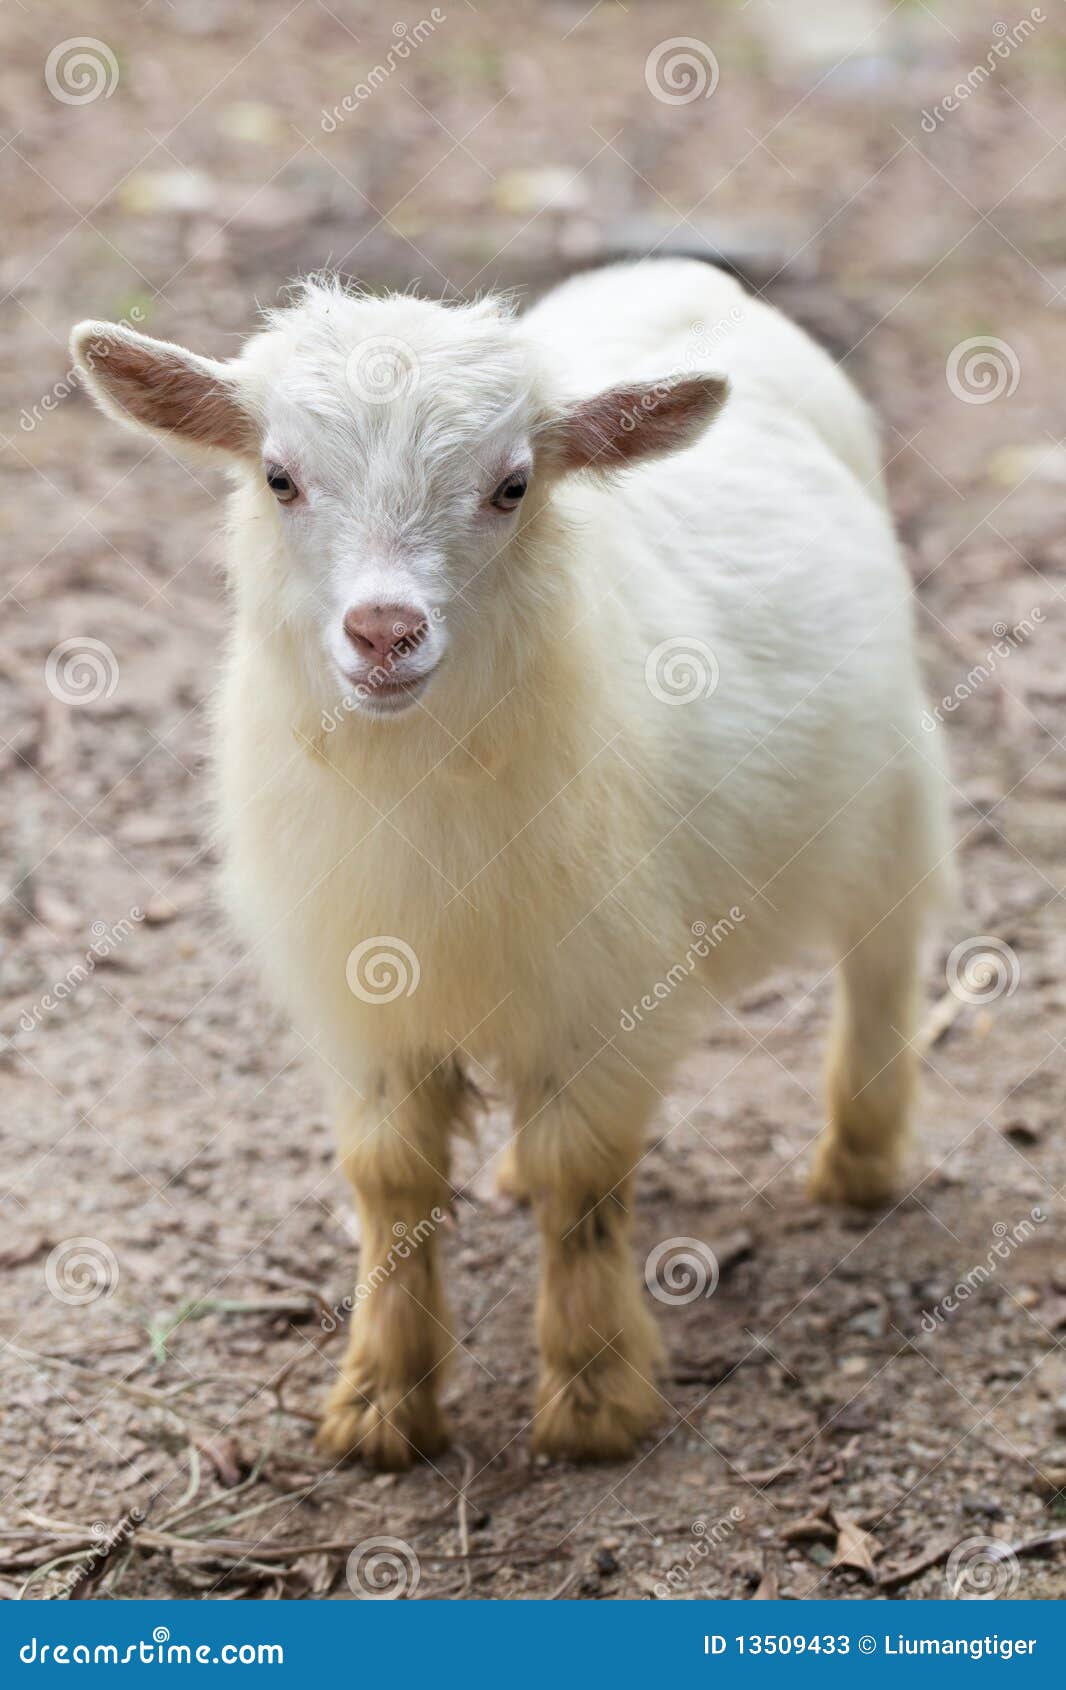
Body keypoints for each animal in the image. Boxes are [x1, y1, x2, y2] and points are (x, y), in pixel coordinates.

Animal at [71, 259, 950, 1468]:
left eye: (513, 486)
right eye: (279, 476)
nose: (384, 632)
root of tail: (682, 272)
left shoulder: (603, 987)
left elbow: (587, 1186)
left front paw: (593, 1396)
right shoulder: (364, 1004)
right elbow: (390, 1180)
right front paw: (381, 1401)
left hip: (893, 789)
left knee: (882, 960)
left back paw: (859, 1162)